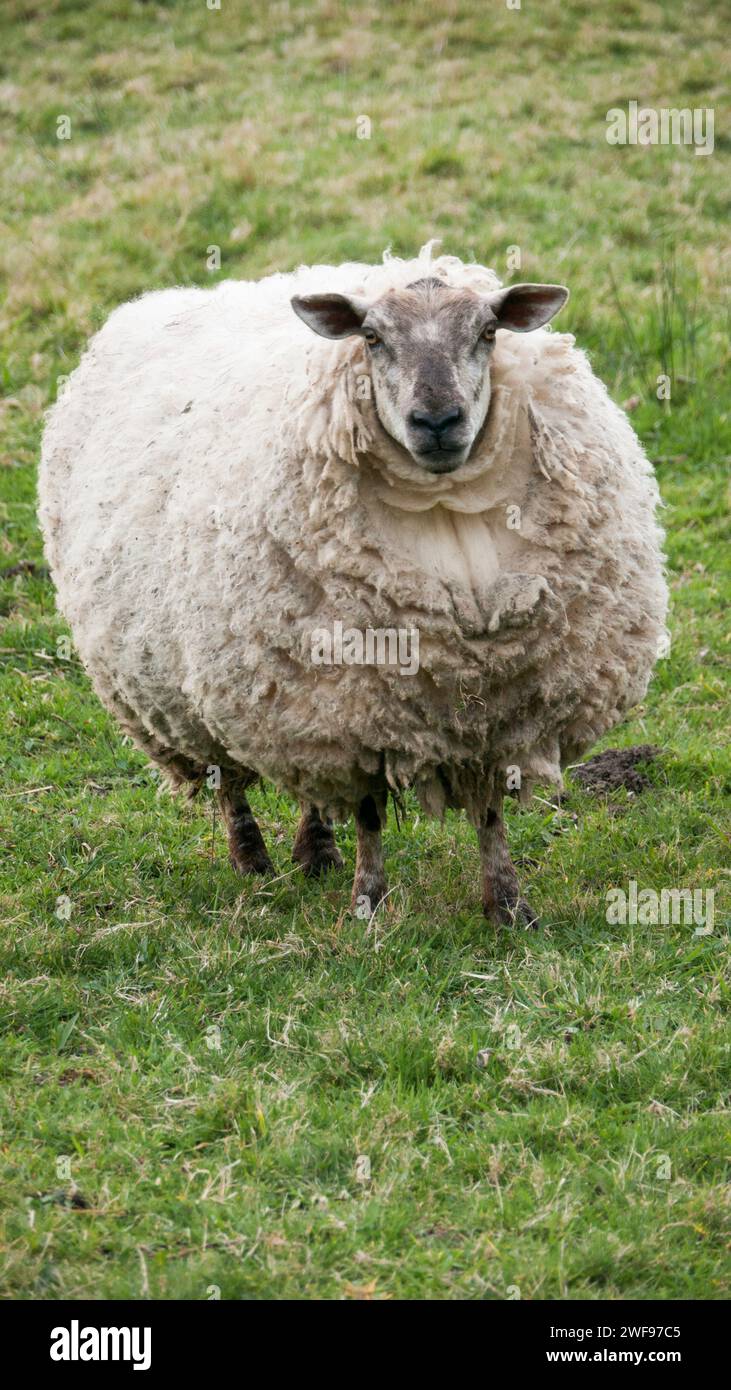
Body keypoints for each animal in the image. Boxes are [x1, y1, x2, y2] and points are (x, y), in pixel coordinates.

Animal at [38, 244, 668, 925]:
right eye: (372, 338)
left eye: (488, 332)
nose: (438, 420)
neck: (444, 511)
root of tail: (161, 299)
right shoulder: (356, 709)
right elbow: (367, 812)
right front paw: (370, 901)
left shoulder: (498, 708)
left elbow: (490, 813)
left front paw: (507, 904)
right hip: (205, 695)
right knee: (228, 781)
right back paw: (253, 859)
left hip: (289, 692)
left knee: (307, 787)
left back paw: (315, 852)